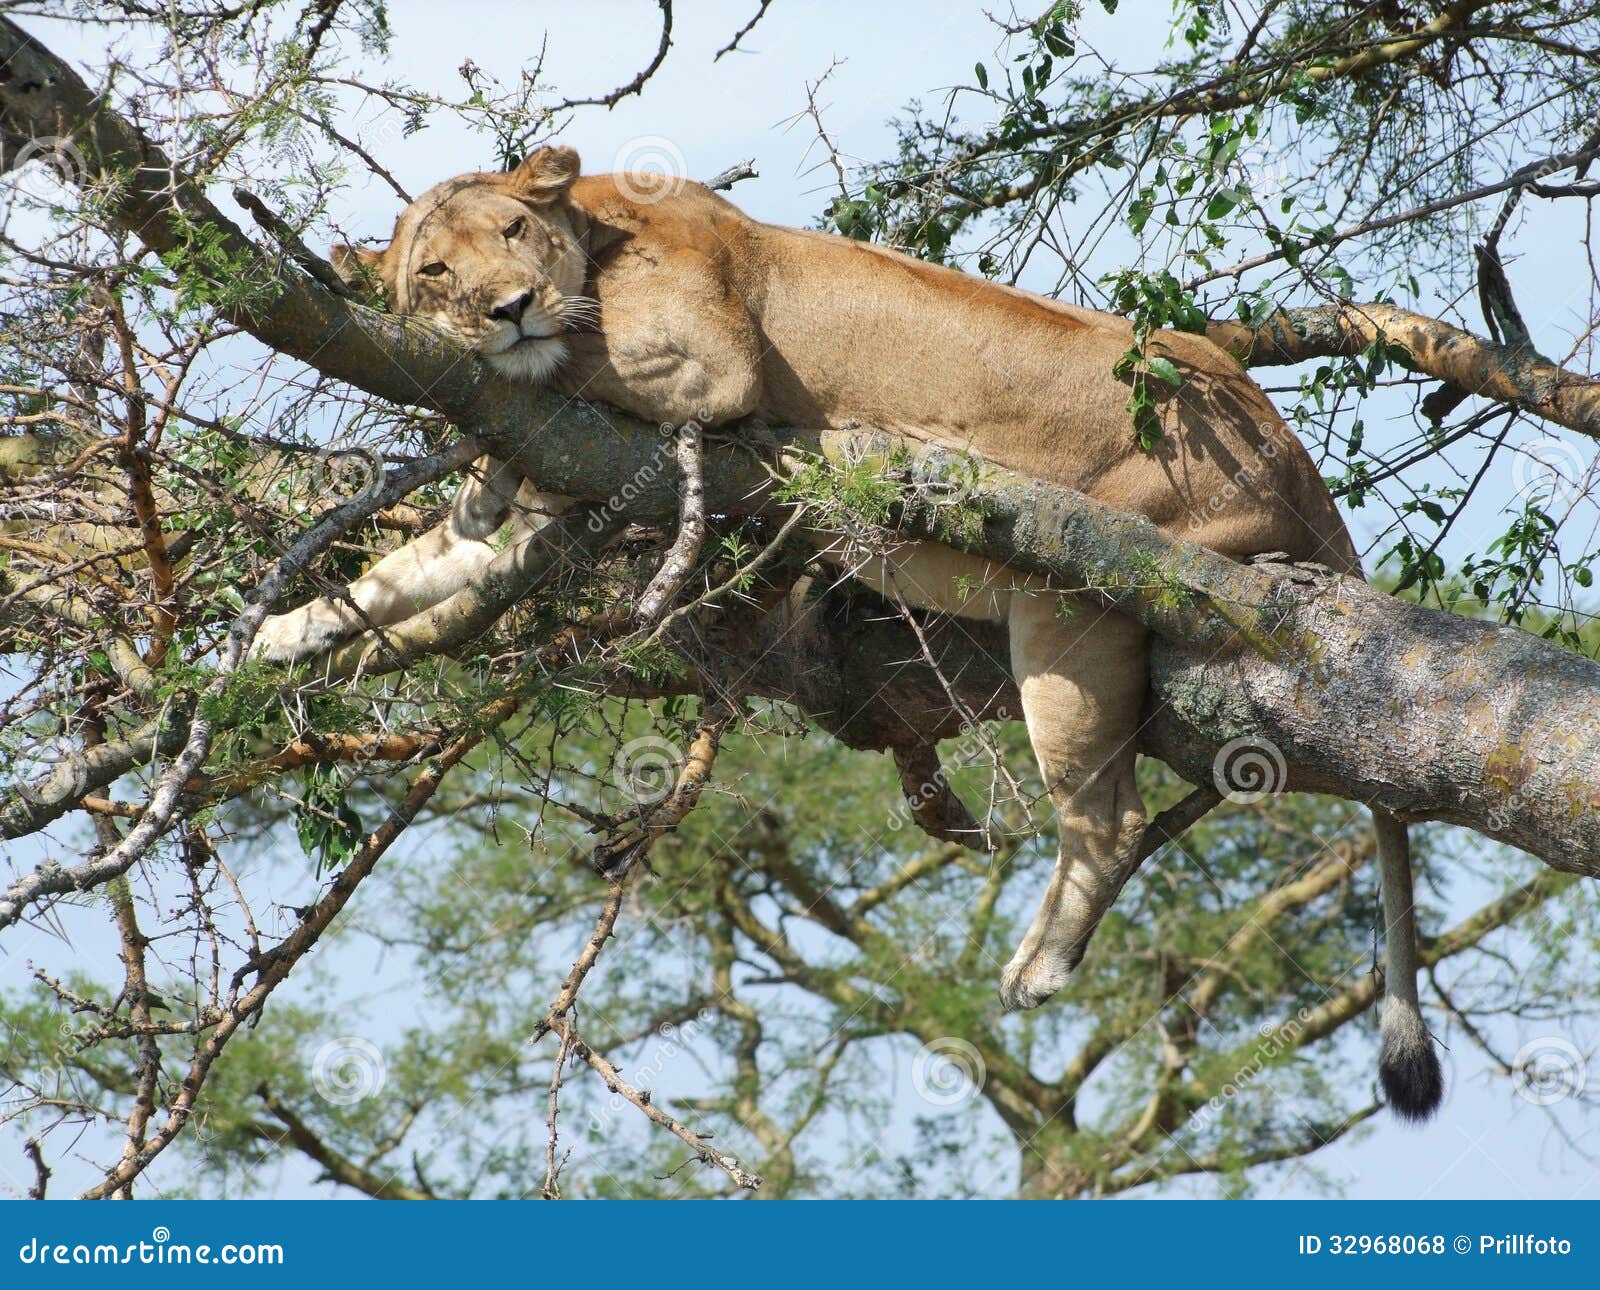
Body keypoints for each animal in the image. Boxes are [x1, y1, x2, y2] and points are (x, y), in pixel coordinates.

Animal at [251, 146, 1443, 1120]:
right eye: (432, 273)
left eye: (511, 234)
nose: (509, 306)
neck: (593, 233)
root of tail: (1298, 465)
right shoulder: (565, 479)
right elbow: (403, 580)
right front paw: (280, 640)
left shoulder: (706, 363)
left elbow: (561, 381)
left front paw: (482, 442)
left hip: (1077, 598)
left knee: (1108, 819)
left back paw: (1035, 970)